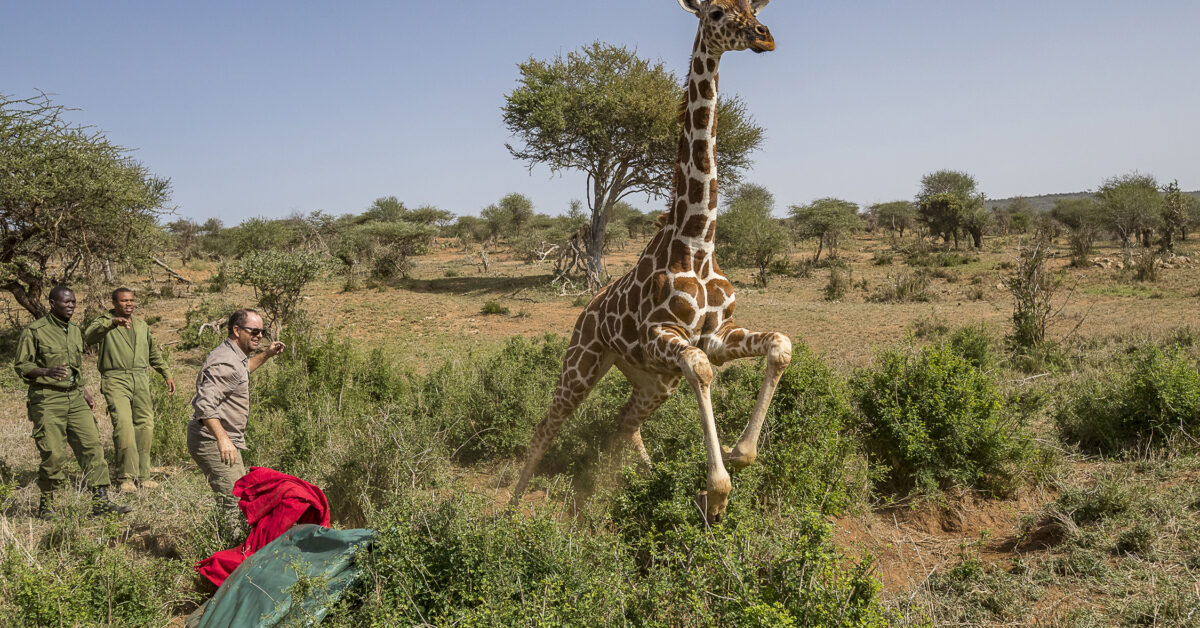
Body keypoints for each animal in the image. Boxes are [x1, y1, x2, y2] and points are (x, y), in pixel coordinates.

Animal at [510, 0, 789, 524]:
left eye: (751, 6)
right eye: (716, 11)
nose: (764, 36)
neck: (697, 242)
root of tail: (586, 309)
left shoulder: (716, 336)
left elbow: (779, 346)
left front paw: (737, 458)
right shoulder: (668, 335)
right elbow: (702, 369)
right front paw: (717, 491)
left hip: (653, 380)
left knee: (624, 422)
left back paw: (640, 483)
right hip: (582, 363)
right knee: (545, 427)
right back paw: (507, 512)